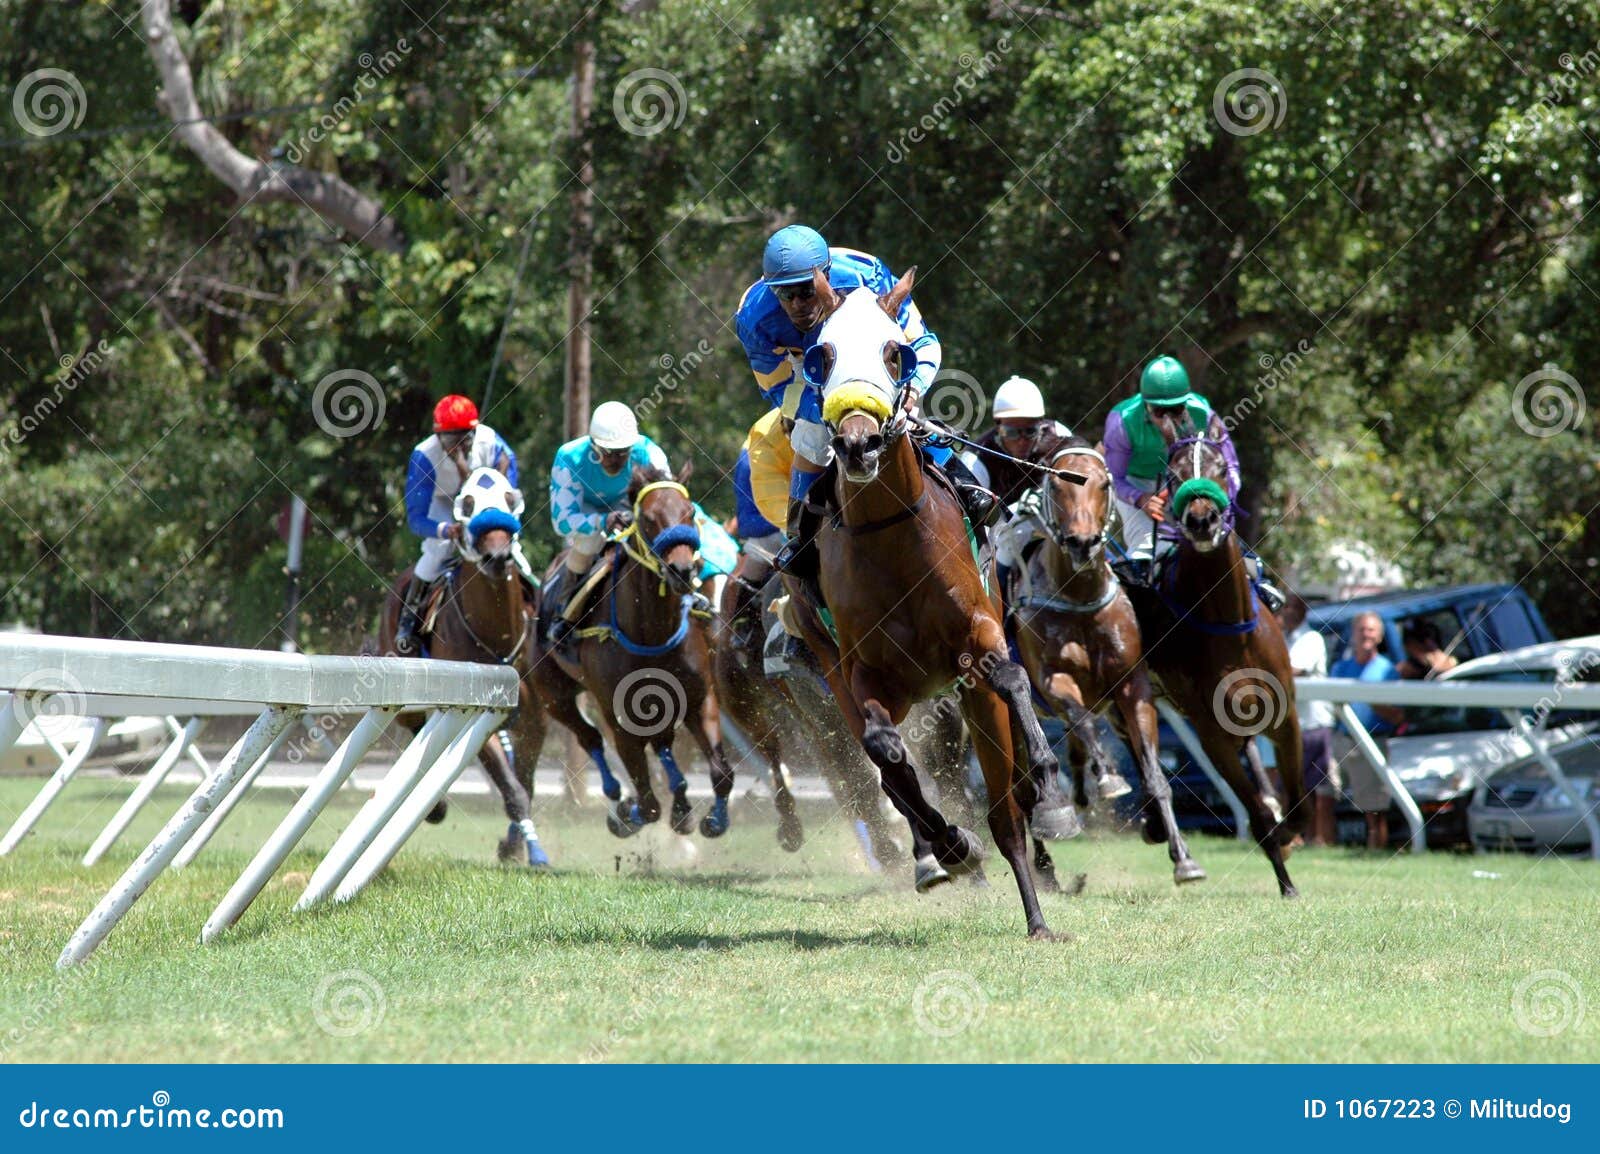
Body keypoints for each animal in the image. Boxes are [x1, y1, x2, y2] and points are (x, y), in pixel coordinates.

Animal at [379, 466, 550, 867]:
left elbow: (523, 784)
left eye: (509, 499)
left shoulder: (530, 718)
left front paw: (525, 848)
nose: (498, 556)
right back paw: (435, 807)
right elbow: (513, 789)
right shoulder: (474, 713)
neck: (497, 632)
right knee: (415, 730)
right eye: (467, 505)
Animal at [533, 464, 734, 841]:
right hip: (554, 695)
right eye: (649, 519)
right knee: (591, 739)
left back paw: (680, 806)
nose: (682, 571)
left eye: (689, 513)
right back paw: (619, 801)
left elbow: (722, 773)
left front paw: (714, 820)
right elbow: (648, 801)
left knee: (662, 743)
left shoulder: (699, 699)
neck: (652, 631)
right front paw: (628, 813)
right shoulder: (618, 716)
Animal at [786, 268, 1081, 938]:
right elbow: (886, 753)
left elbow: (1010, 679)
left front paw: (1048, 781)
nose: (858, 444)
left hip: (969, 699)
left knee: (1005, 815)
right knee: (898, 774)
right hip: (839, 673)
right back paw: (950, 849)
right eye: (822, 354)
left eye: (895, 352)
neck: (891, 535)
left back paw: (1036, 913)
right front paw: (950, 844)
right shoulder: (866, 673)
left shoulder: (978, 639)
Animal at [1012, 437, 1206, 885]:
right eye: (1056, 484)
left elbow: (1154, 773)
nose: (1083, 543)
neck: (1079, 596)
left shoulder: (1132, 687)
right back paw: (1045, 860)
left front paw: (1183, 858)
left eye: (1103, 484)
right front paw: (1109, 778)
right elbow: (1082, 721)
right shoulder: (1052, 680)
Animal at [1127, 424, 1306, 895]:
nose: (1202, 519)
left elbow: (1296, 802)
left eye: (1221, 468)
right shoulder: (1211, 734)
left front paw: (1287, 841)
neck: (1228, 625)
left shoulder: (1286, 717)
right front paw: (1284, 874)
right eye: (1172, 475)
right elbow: (1258, 816)